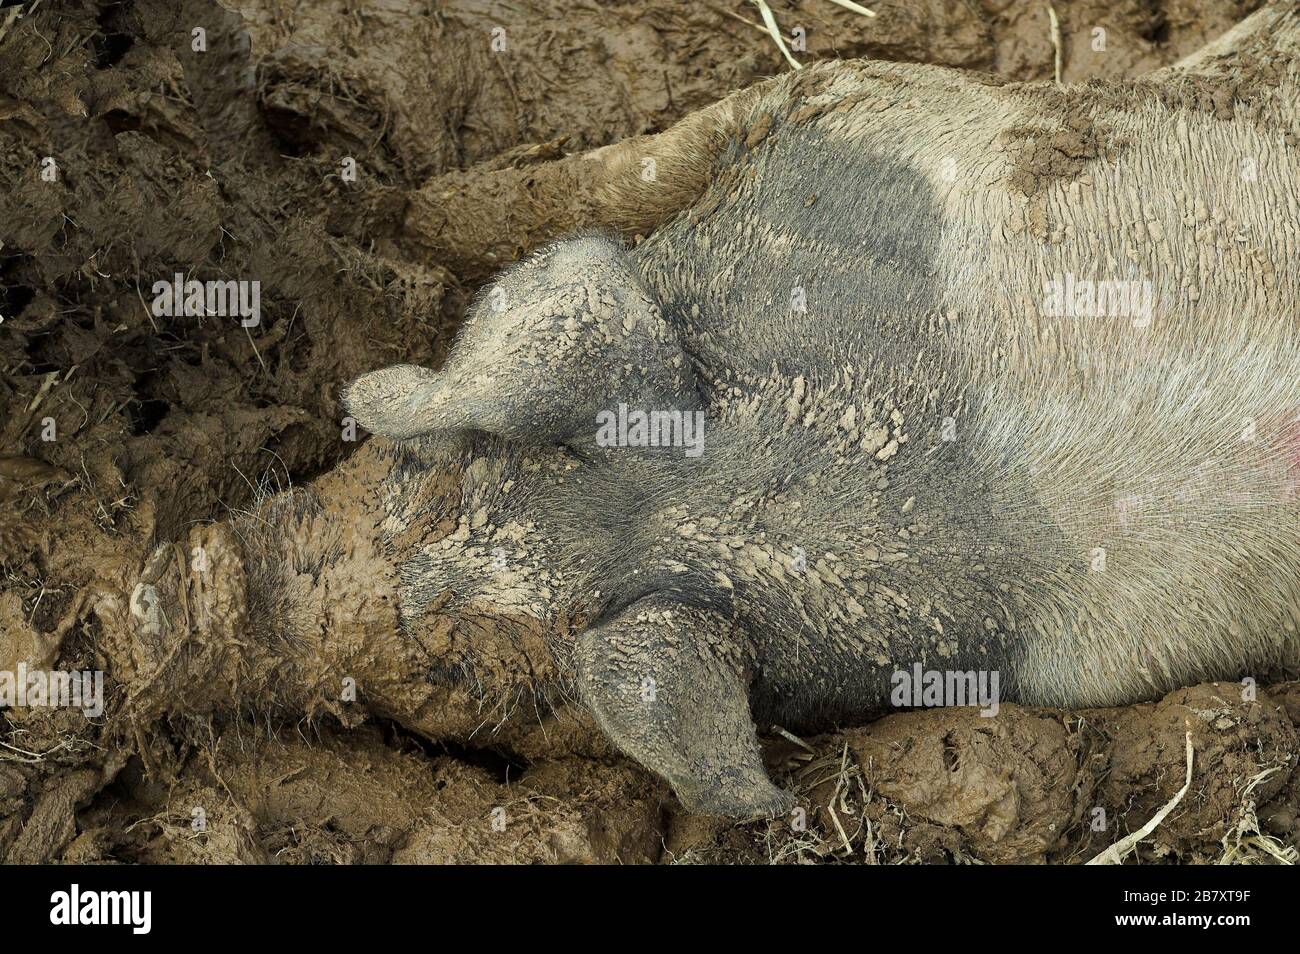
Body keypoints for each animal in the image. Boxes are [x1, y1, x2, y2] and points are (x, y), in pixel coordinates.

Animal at [127, 4, 1300, 817]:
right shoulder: (854, 99)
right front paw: (393, 211)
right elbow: (622, 170)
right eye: (430, 474)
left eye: (456, 678)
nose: (172, 600)